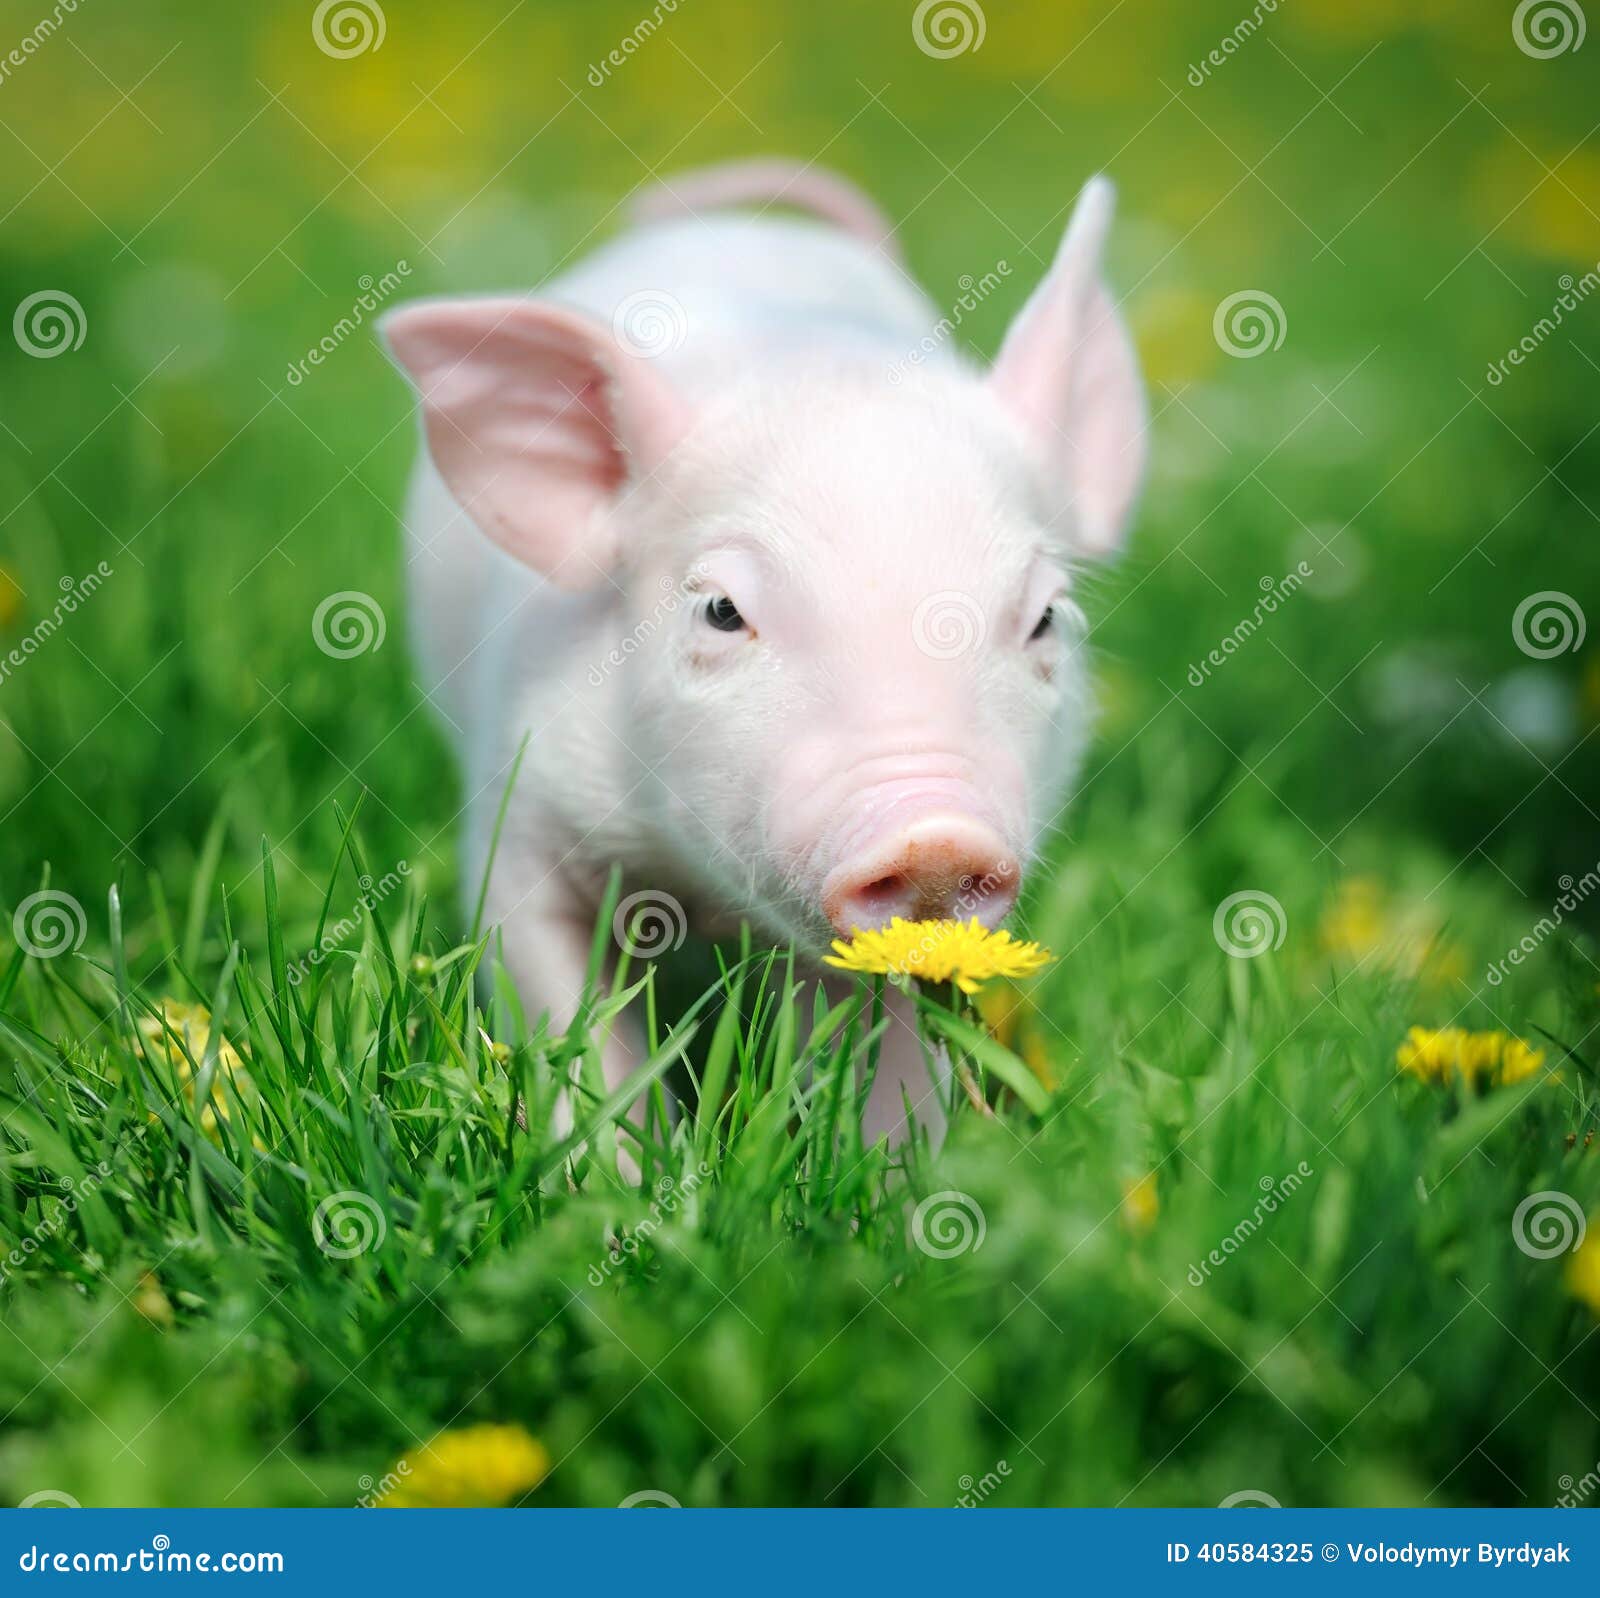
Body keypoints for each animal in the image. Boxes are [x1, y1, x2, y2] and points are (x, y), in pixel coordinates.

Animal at [382, 157, 1146, 1161]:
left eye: (1046, 619)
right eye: (721, 610)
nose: (935, 836)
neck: (706, 894)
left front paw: (892, 1178)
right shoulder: (523, 812)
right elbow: (566, 1017)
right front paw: (620, 1181)